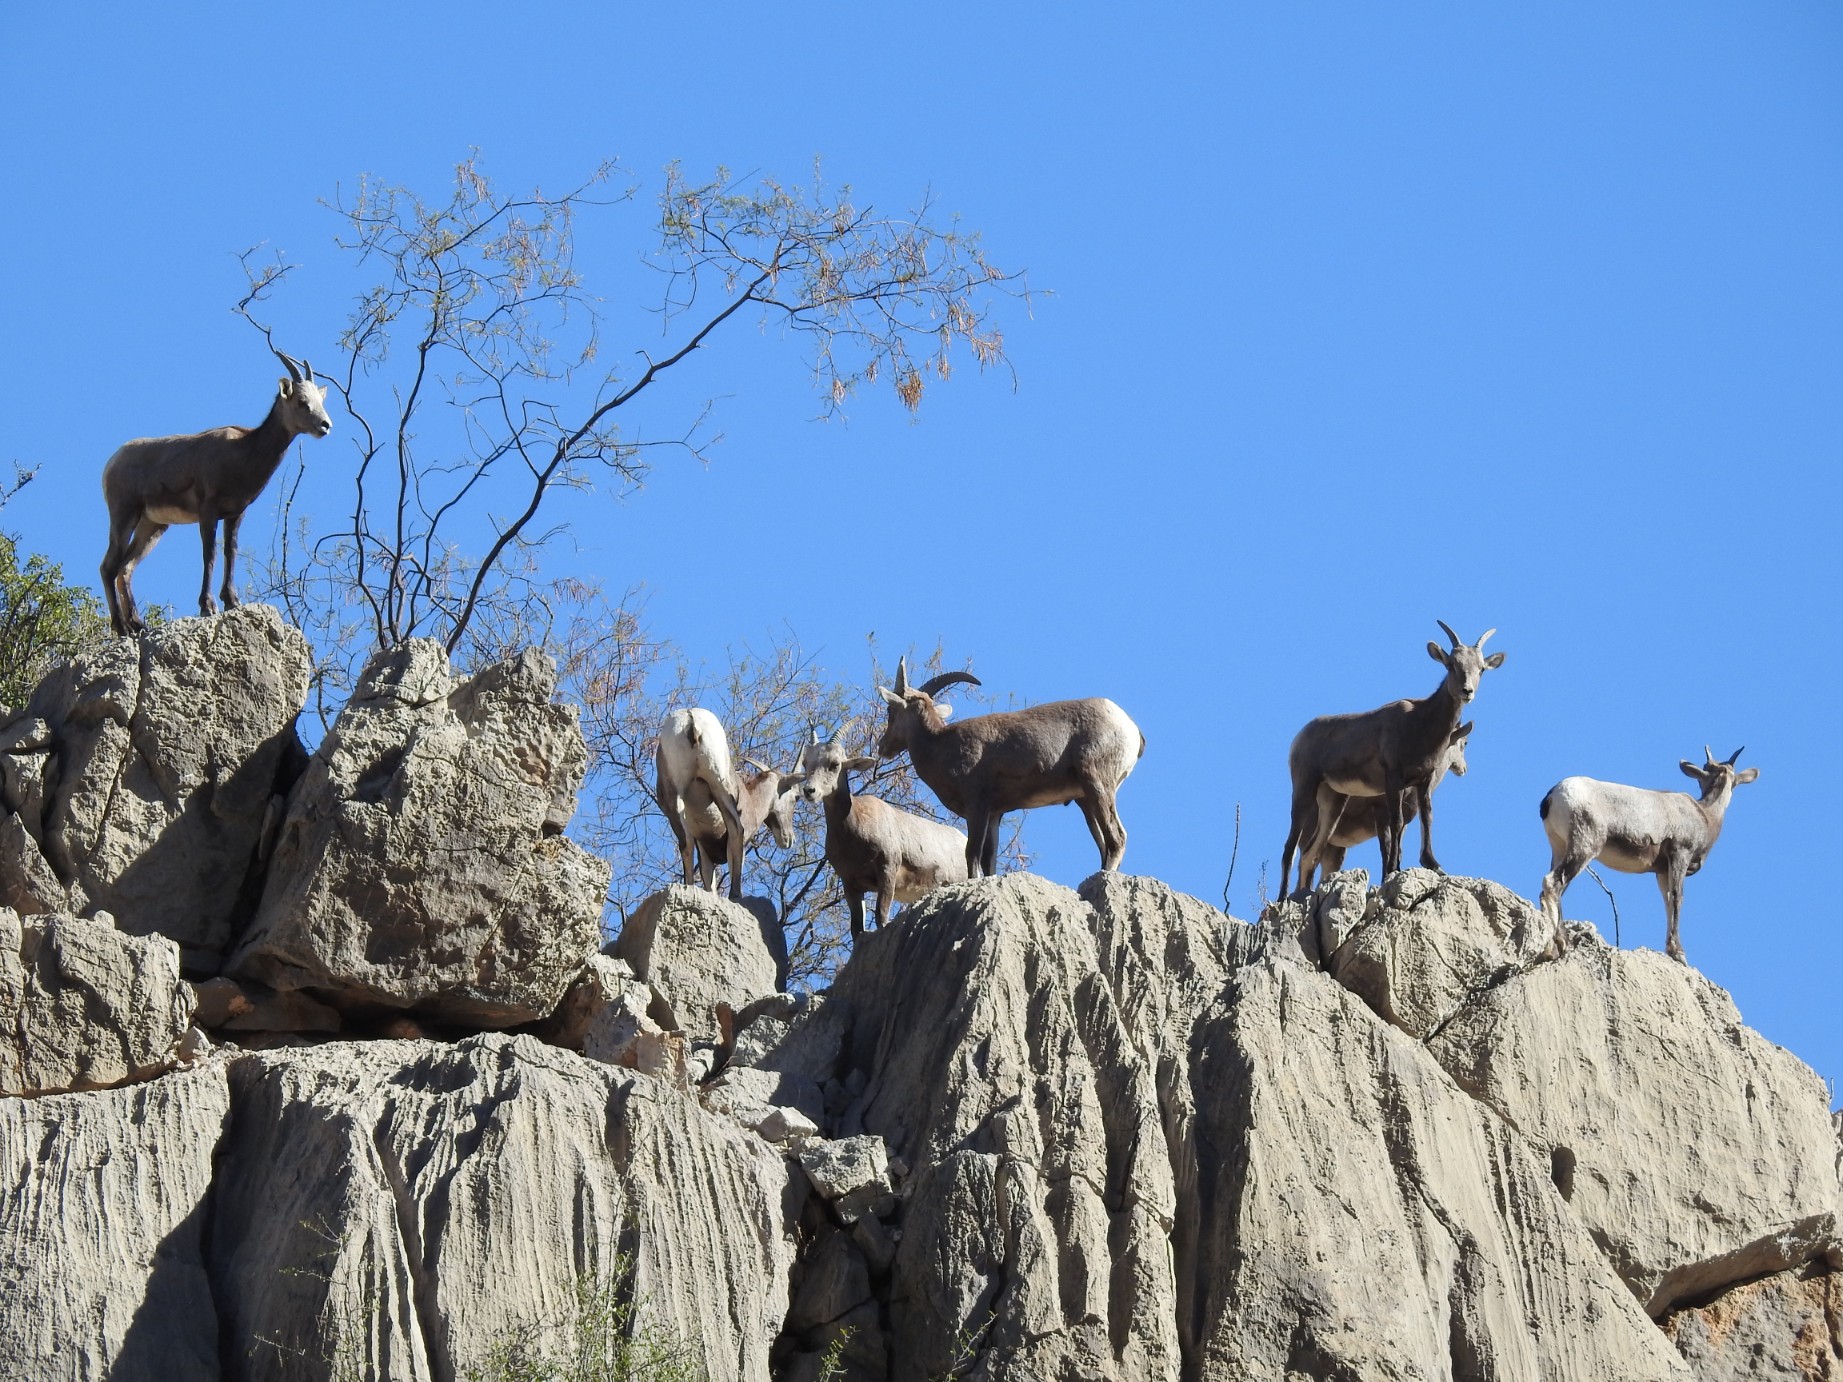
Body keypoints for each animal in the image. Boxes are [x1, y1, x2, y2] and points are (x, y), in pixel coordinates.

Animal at [99, 350, 333, 635]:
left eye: (319, 400)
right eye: (301, 401)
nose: (325, 425)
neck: (242, 453)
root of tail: (112, 463)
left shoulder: (235, 514)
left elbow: (230, 551)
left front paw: (231, 601)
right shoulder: (208, 512)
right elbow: (209, 554)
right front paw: (207, 606)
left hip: (152, 525)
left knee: (126, 568)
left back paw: (137, 624)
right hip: (124, 515)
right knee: (109, 566)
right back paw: (122, 628)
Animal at [875, 657, 1144, 879]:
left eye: (890, 710)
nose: (882, 746)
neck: (941, 746)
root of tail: (1130, 727)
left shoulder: (978, 805)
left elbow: (972, 854)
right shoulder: (994, 815)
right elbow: (988, 862)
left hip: (1097, 784)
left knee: (1117, 837)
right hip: (1085, 801)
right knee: (1105, 844)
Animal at [1279, 622, 1505, 898]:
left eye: (1481, 668)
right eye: (1451, 664)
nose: (1467, 692)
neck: (1420, 723)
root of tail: (1298, 739)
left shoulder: (1422, 782)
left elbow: (1427, 818)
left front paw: (1433, 865)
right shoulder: (1393, 782)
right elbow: (1394, 828)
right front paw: (1393, 870)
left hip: (1333, 803)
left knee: (1311, 853)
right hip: (1304, 788)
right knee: (1290, 848)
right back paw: (1281, 900)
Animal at [1537, 746, 1758, 963]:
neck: (1705, 815)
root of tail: (1554, 795)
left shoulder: (1662, 872)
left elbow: (1668, 901)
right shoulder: (1680, 853)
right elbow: (1677, 898)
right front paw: (1679, 953)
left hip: (1559, 847)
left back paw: (1550, 950)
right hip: (1585, 846)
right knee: (1553, 882)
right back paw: (1562, 942)